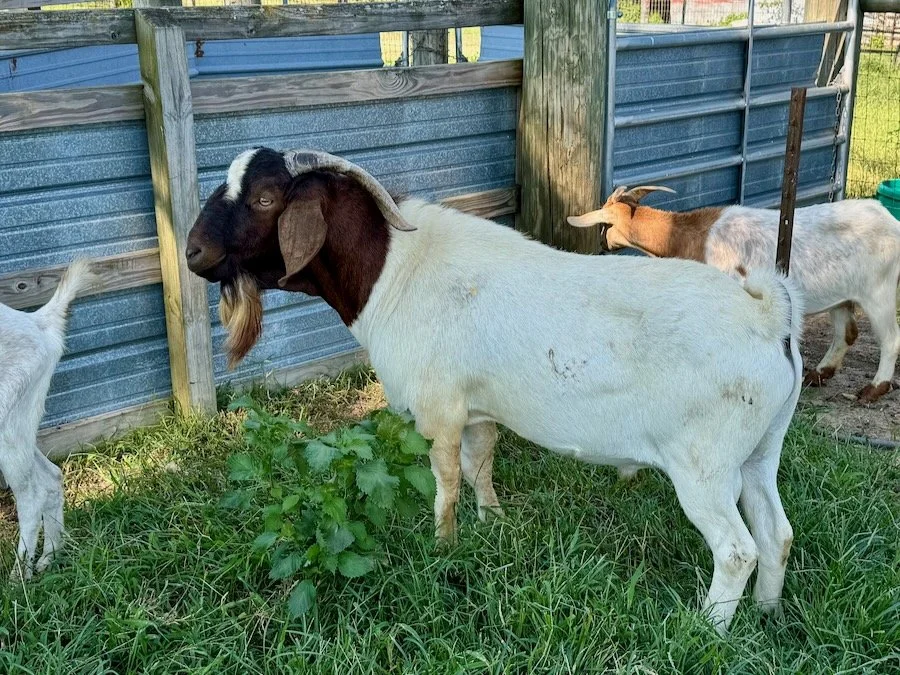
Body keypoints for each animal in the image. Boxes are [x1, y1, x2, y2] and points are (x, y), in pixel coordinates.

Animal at [1, 258, 98, 581]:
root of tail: (39, 322)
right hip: (20, 422)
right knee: (51, 476)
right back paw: (49, 557)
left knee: (32, 493)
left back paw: (19, 577)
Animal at [185, 147, 805, 633]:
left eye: (265, 198)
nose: (193, 252)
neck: (395, 270)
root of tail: (768, 316)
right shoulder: (478, 411)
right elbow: (479, 466)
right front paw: (493, 525)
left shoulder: (437, 410)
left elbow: (446, 484)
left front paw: (443, 548)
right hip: (760, 451)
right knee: (777, 534)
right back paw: (768, 613)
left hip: (704, 466)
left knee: (737, 550)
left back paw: (708, 629)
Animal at [568, 187, 900, 404]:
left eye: (604, 225)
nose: (602, 245)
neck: (693, 235)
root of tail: (892, 223)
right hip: (843, 294)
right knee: (846, 332)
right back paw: (819, 373)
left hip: (879, 290)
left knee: (890, 338)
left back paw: (874, 389)